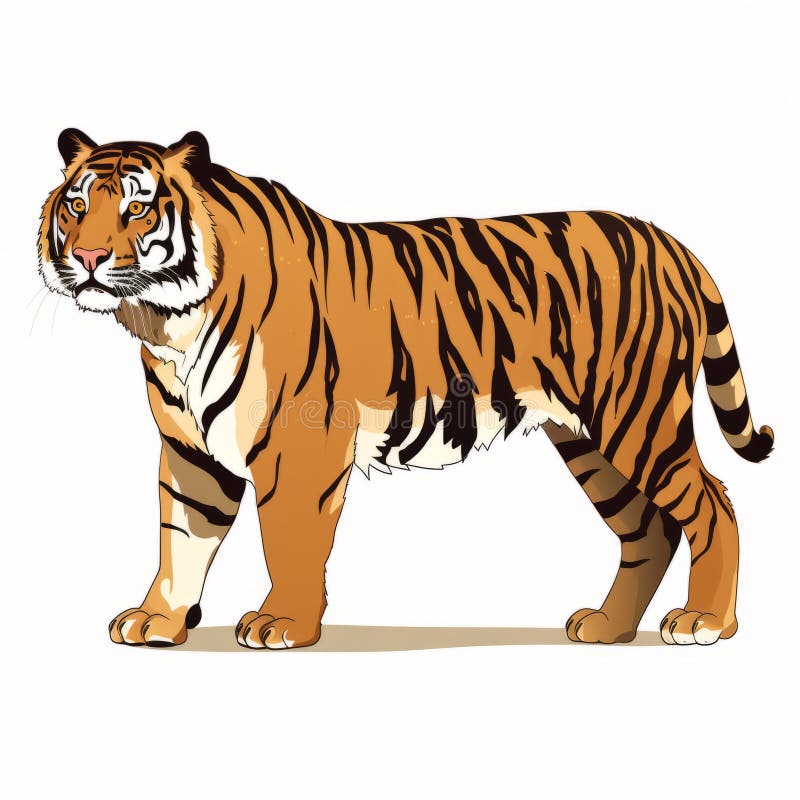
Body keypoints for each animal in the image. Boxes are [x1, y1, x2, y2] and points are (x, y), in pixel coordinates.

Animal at [38, 128, 773, 649]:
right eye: (75, 205)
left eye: (137, 208)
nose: (88, 257)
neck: (168, 322)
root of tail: (675, 245)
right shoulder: (190, 450)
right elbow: (180, 538)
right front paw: (157, 621)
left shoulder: (299, 444)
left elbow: (289, 540)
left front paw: (282, 624)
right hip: (588, 441)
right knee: (649, 530)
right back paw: (607, 626)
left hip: (637, 418)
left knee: (714, 505)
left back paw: (704, 621)